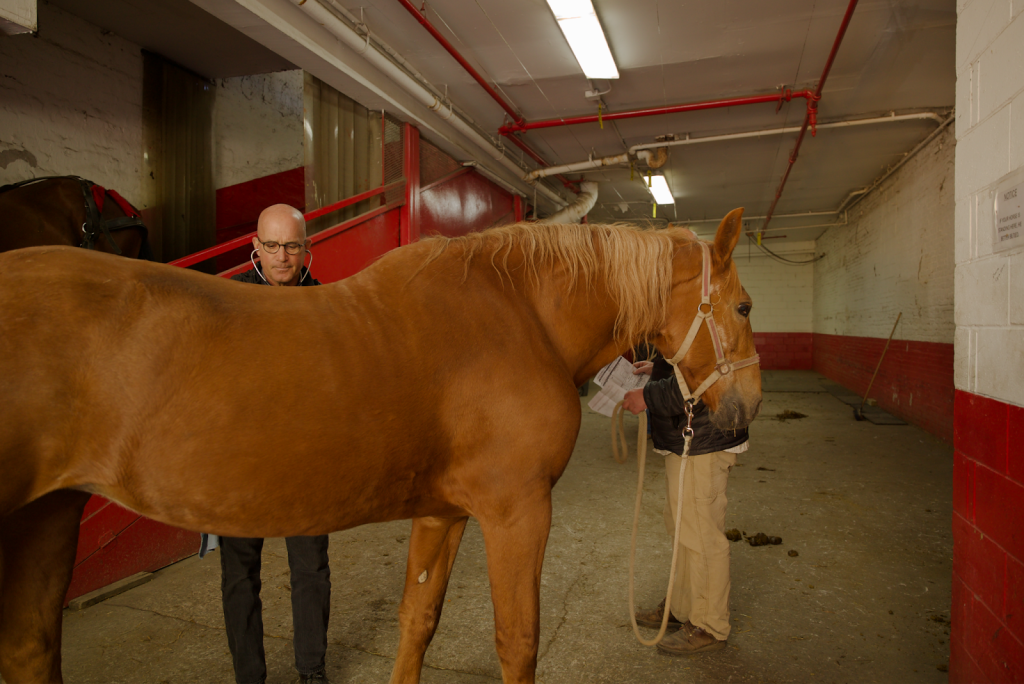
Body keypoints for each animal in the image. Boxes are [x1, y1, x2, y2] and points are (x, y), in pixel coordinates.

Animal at [0, 208, 760, 684]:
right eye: (745, 306)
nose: (746, 410)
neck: (518, 314)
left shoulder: (444, 513)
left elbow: (417, 619)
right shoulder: (517, 513)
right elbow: (517, 642)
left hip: (48, 520)